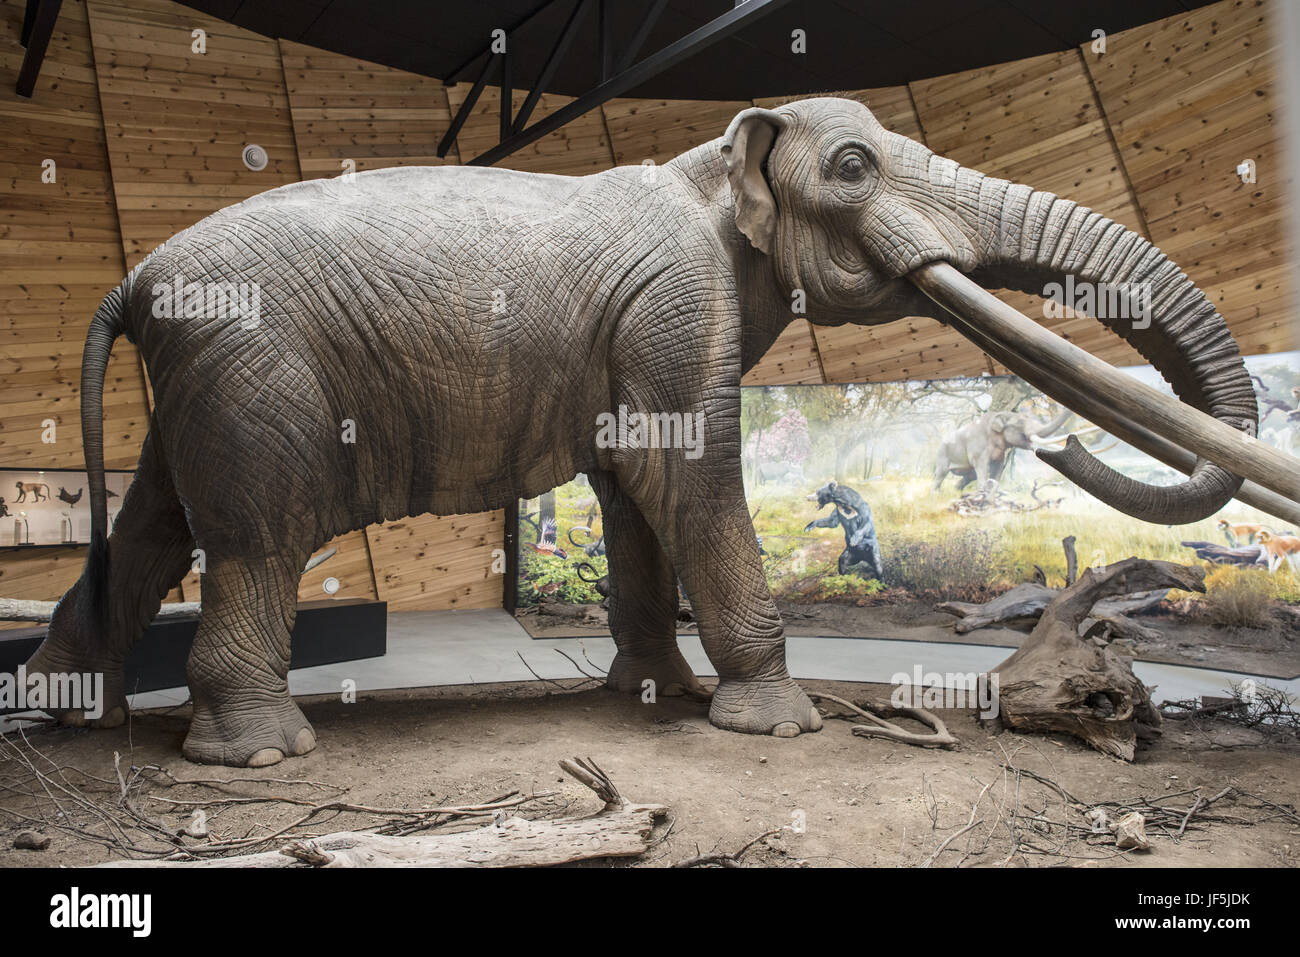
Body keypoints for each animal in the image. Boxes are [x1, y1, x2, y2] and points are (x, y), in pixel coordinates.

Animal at [933, 408, 1072, 492]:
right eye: (1020, 423)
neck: (998, 414)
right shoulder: (978, 447)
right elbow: (983, 467)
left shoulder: (1000, 453)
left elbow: (998, 468)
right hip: (942, 454)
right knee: (940, 474)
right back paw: (936, 494)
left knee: (969, 476)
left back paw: (956, 492)